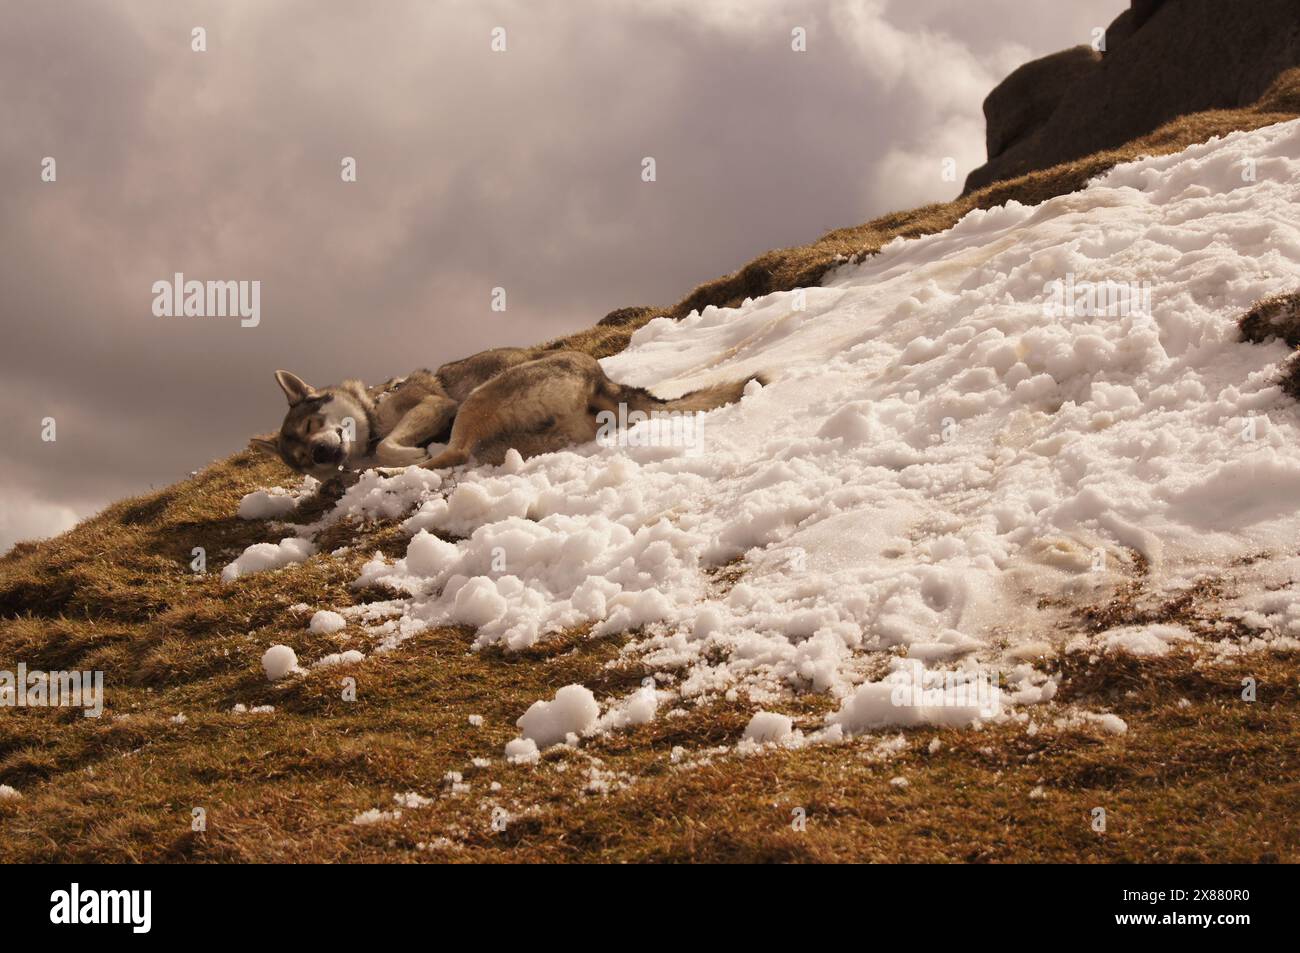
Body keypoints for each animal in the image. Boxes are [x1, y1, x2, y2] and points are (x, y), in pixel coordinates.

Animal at [251, 346, 757, 482]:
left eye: (311, 425)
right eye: (300, 462)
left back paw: (398, 472)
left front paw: (397, 457)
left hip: (476, 401)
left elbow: (391, 445)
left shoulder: (436, 404)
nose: (320, 456)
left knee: (454, 454)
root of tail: (599, 376)